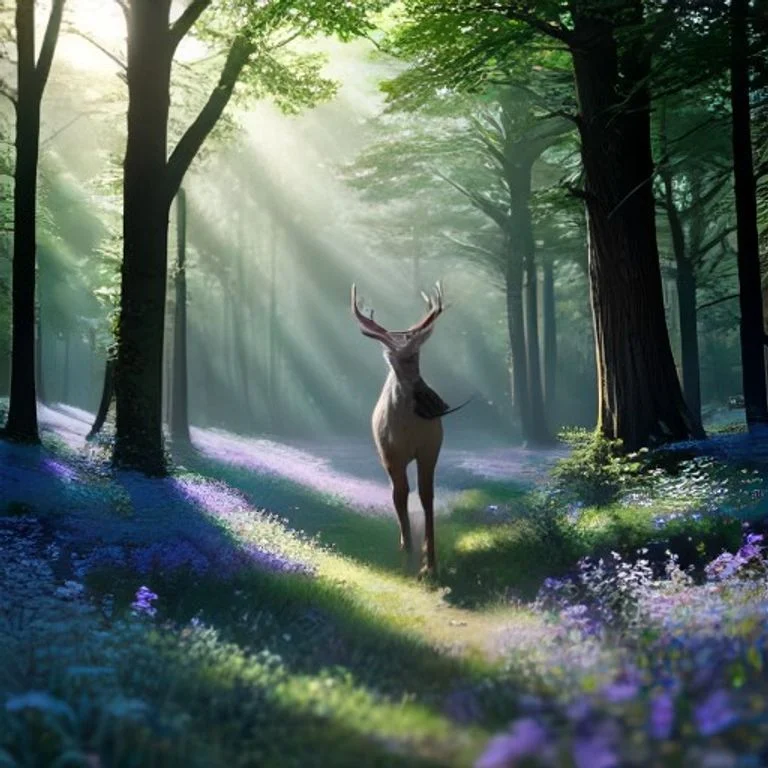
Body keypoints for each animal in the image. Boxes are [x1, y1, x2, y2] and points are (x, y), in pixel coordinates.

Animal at [351, 281, 467, 576]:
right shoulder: (391, 455)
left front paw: (430, 563)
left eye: (416, 355)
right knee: (397, 494)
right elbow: (400, 495)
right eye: (395, 361)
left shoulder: (430, 449)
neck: (407, 431)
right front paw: (408, 553)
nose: (429, 397)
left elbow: (427, 496)